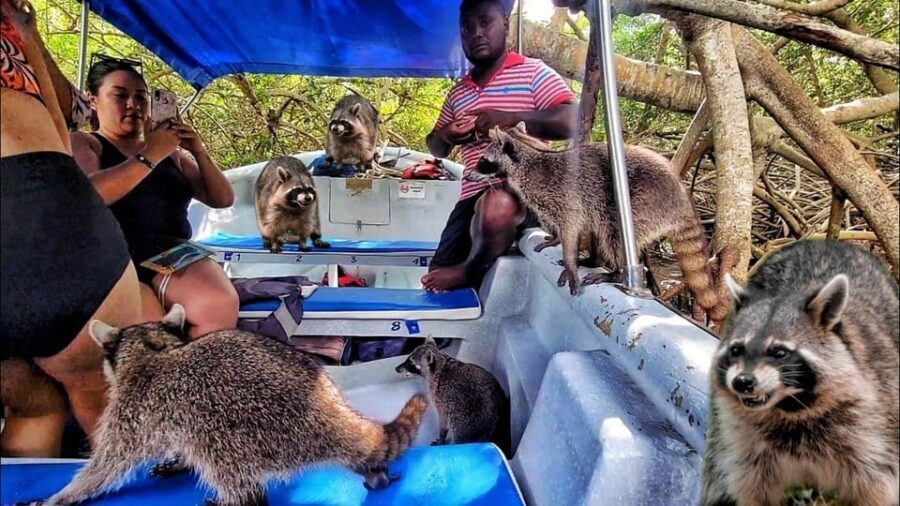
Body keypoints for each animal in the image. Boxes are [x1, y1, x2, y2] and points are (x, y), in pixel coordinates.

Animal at [36, 305, 428, 506]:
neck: (152, 349)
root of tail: (327, 412)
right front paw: (177, 460)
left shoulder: (134, 408)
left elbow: (108, 463)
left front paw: (64, 495)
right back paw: (374, 472)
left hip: (235, 425)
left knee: (218, 460)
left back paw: (237, 498)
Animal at [471, 123, 727, 323]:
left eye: (483, 160)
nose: (470, 175)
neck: (527, 155)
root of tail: (682, 196)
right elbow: (565, 226)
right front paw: (556, 238)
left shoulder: (563, 194)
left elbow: (571, 224)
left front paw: (570, 261)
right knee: (598, 226)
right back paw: (593, 259)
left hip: (641, 203)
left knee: (613, 232)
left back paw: (615, 273)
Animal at [702, 240, 899, 506]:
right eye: (736, 349)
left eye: (780, 352)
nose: (743, 382)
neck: (790, 408)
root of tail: (825, 242)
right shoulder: (744, 443)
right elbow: (750, 487)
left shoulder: (873, 430)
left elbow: (876, 485)